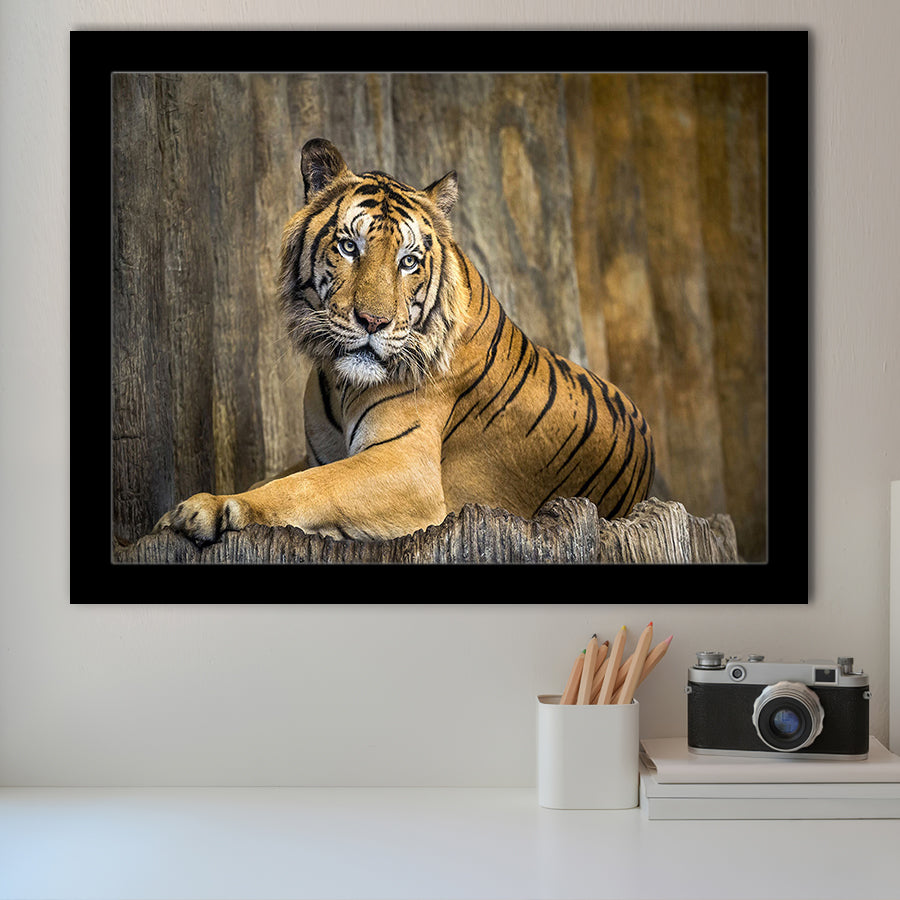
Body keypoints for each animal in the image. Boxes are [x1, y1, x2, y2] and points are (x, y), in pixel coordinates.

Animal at [154, 138, 655, 545]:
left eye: (409, 261)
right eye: (349, 247)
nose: (373, 321)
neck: (341, 385)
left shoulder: (405, 466)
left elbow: (307, 486)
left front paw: (213, 508)